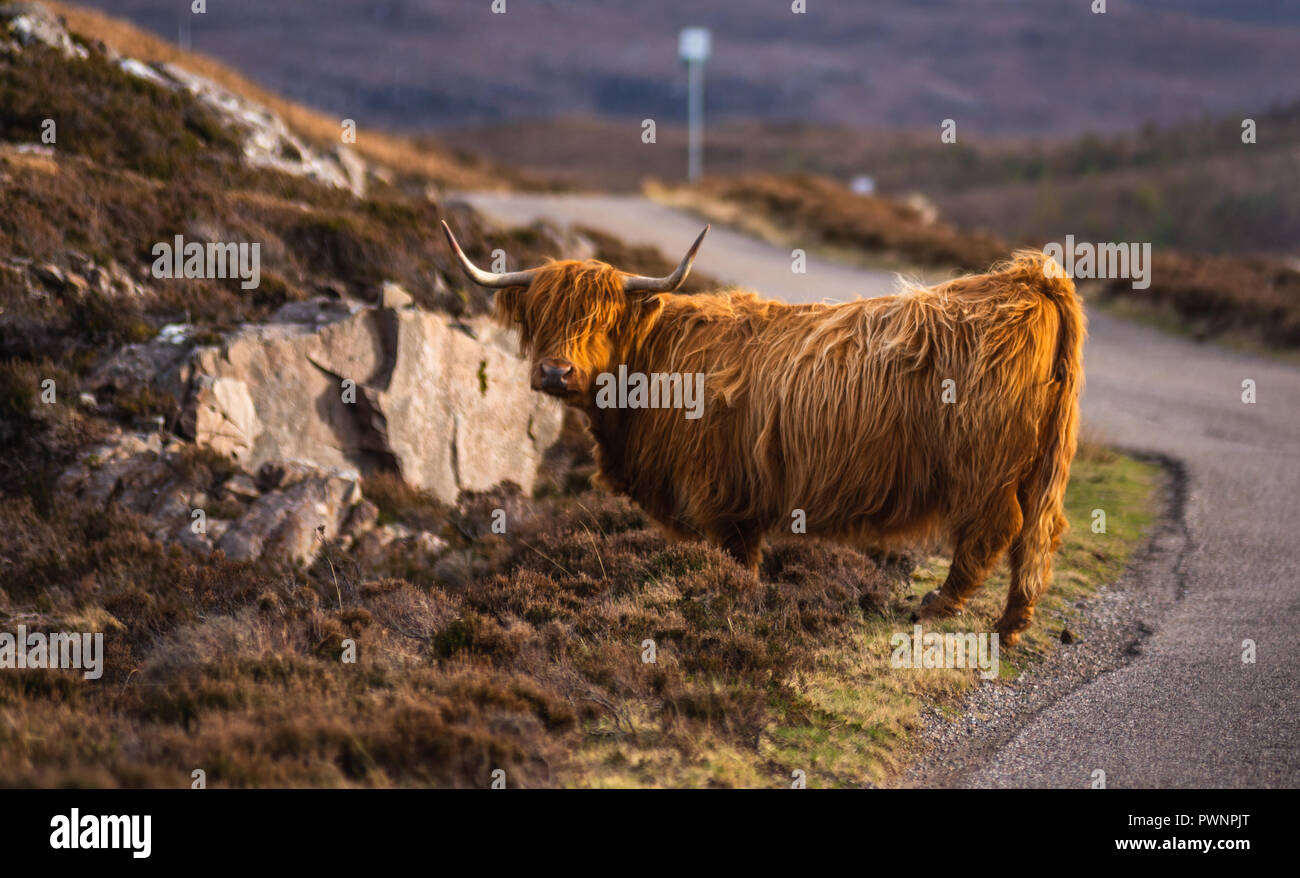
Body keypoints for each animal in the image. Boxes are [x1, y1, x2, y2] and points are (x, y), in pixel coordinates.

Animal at [441, 221, 1085, 646]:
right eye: (541, 316)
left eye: (601, 320)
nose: (555, 372)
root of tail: (1027, 281)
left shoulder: (723, 498)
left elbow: (737, 562)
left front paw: (734, 606)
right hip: (1044, 461)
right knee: (1041, 532)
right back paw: (1012, 623)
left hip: (985, 465)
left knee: (997, 528)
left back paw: (937, 607)